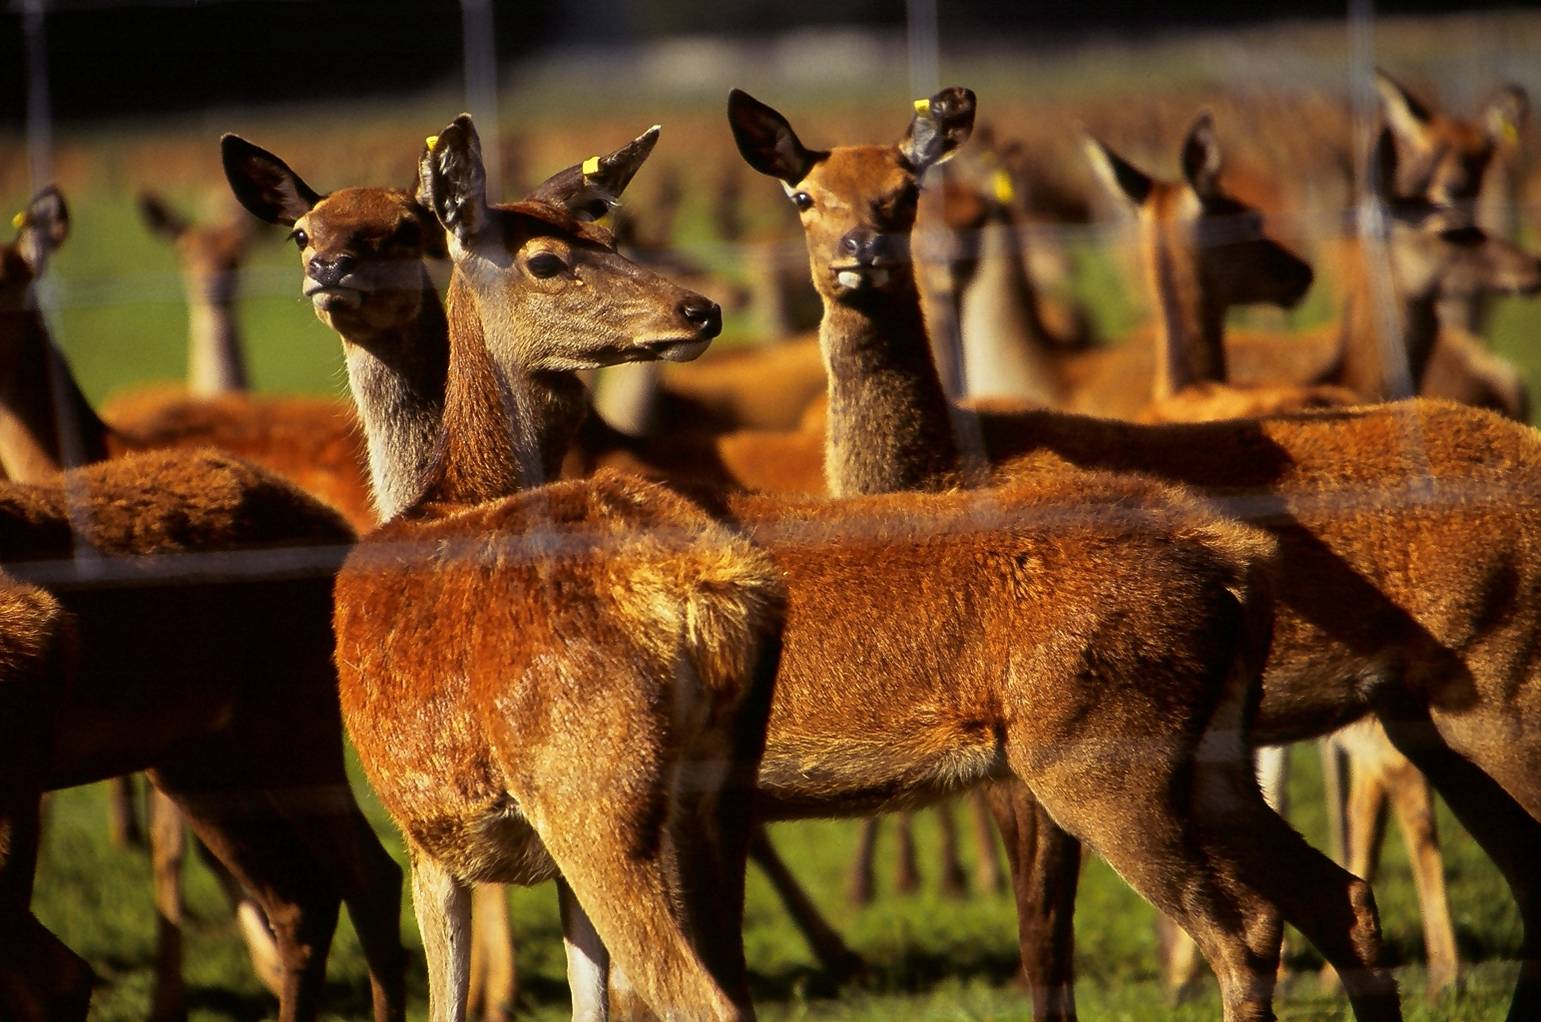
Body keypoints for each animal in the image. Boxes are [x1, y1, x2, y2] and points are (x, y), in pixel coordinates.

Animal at [725, 85, 1541, 1022]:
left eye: (905, 191)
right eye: (803, 195)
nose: (860, 257)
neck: (934, 468)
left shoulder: (1016, 765)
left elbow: (1043, 936)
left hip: (1502, 683)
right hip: (1428, 713)